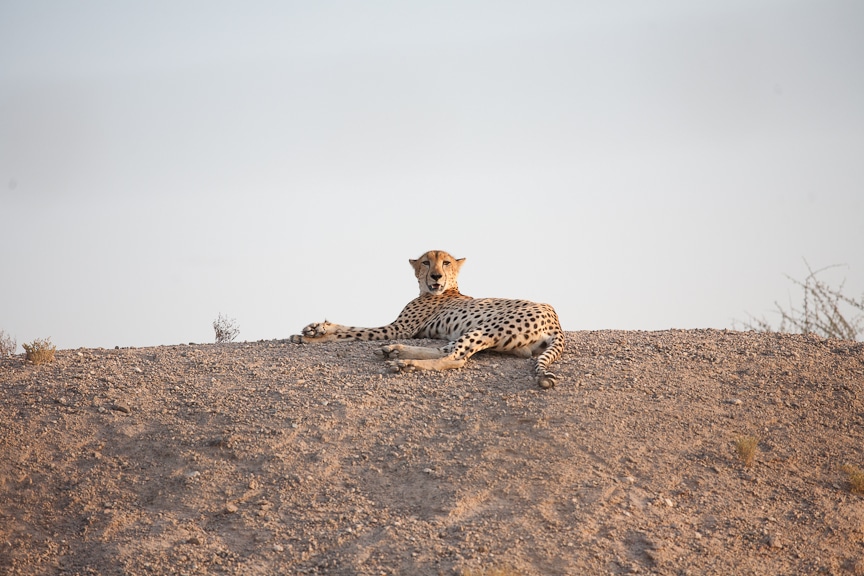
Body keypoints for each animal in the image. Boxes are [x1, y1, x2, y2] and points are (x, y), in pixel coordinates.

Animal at [289, 250, 566, 388]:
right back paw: (396, 351)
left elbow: (356, 331)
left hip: (486, 329)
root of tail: (556, 319)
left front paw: (313, 336)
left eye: (446, 263)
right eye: (425, 262)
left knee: (455, 358)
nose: (435, 276)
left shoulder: (397, 328)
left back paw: (406, 363)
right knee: (446, 349)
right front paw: (313, 329)